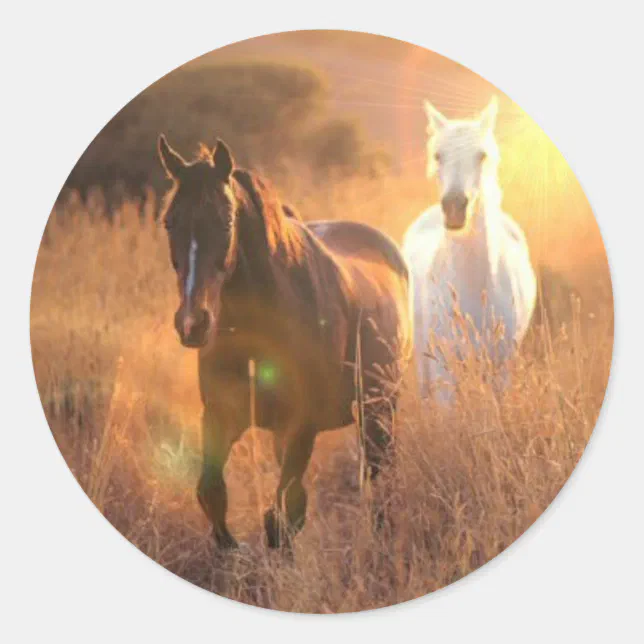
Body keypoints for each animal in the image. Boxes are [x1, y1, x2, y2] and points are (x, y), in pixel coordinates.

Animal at [157, 135, 412, 550]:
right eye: (169, 222)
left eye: (226, 221)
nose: (193, 323)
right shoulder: (220, 415)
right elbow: (212, 494)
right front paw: (232, 550)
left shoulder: (301, 424)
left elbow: (282, 516)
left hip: (379, 405)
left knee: (379, 471)